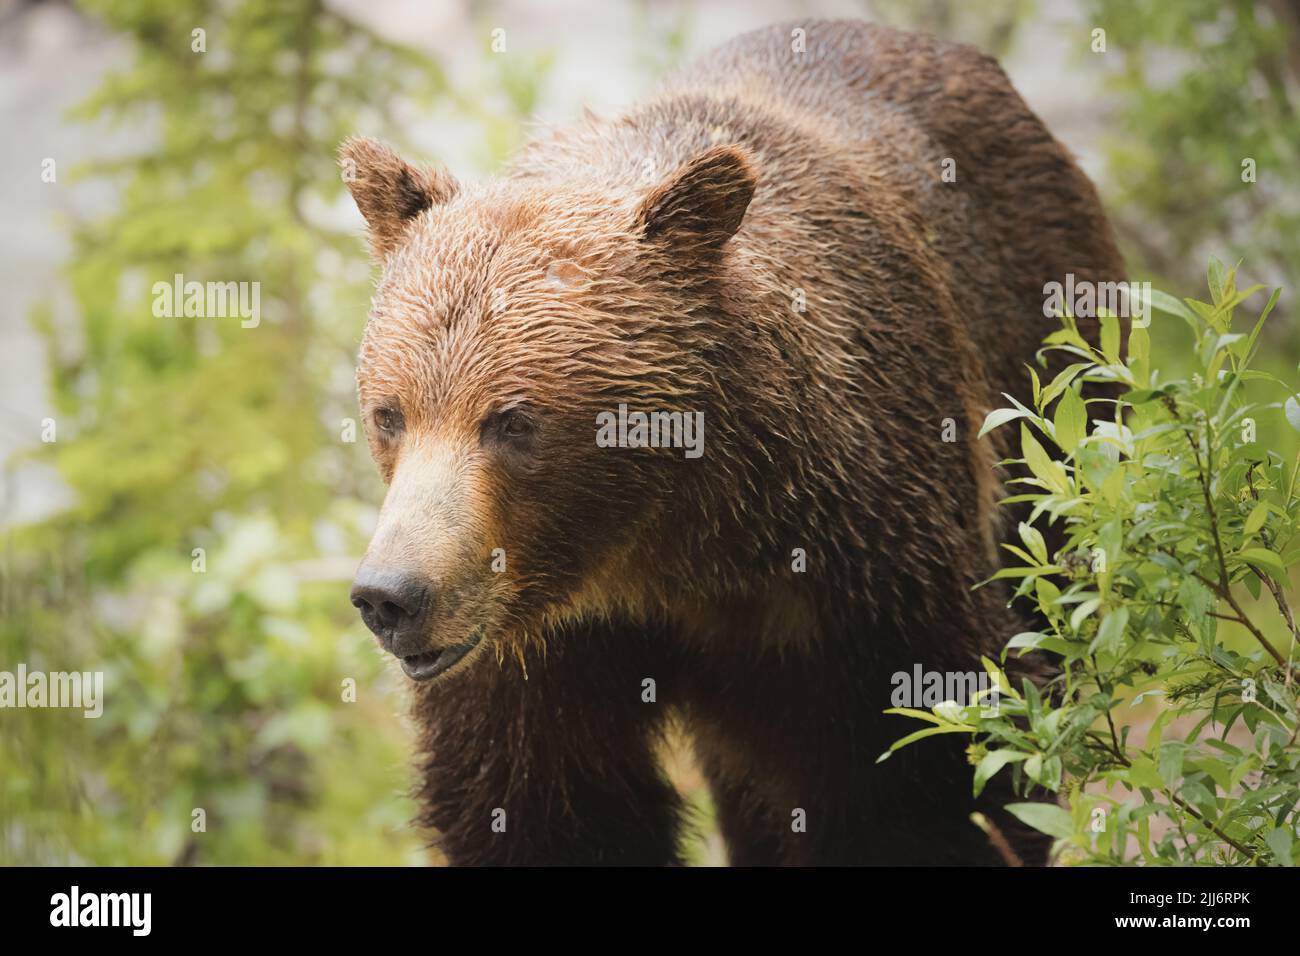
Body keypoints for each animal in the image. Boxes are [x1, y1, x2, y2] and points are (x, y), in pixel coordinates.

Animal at [341, 19, 1123, 865]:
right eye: (390, 414)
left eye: (512, 420)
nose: (391, 595)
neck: (662, 550)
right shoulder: (532, 645)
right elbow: (540, 804)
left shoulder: (866, 581)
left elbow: (935, 772)